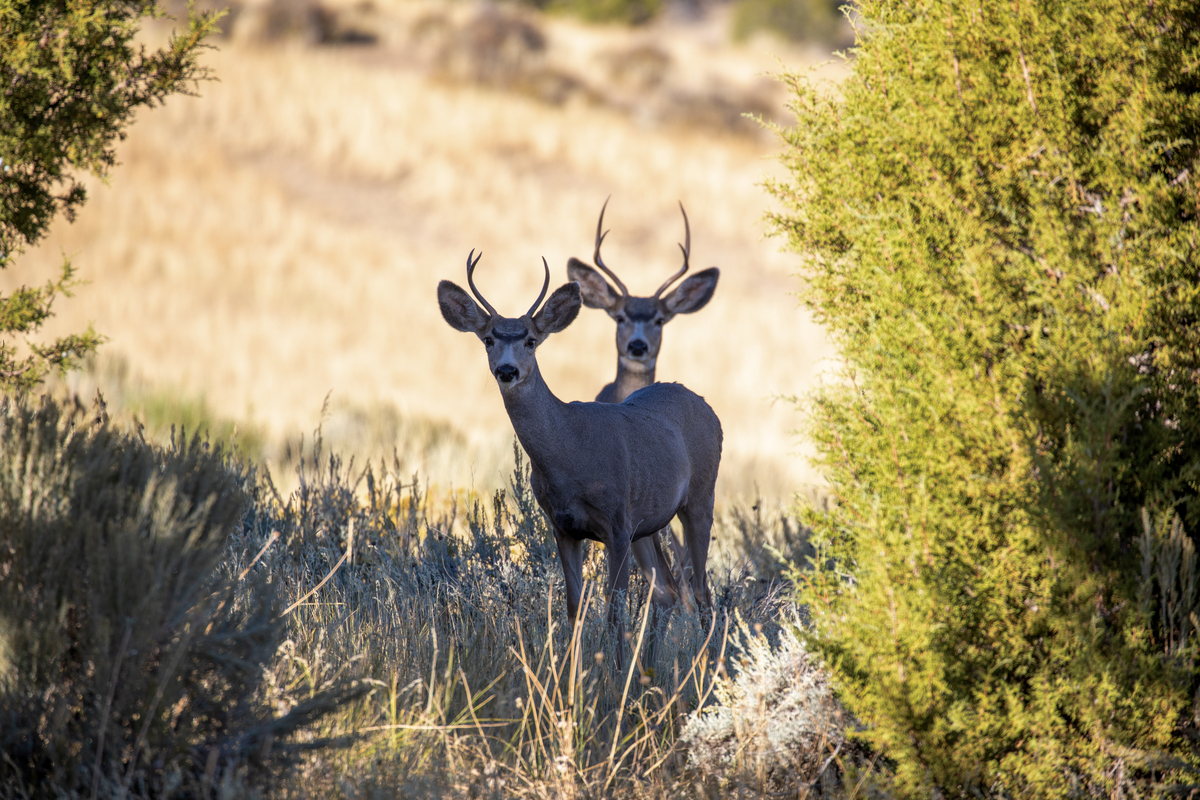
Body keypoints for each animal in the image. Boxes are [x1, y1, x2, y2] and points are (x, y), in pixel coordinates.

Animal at [437, 251, 722, 660]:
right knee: (666, 590)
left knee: (700, 591)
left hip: (699, 498)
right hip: (648, 523)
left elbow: (615, 610)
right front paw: (574, 674)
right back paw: (651, 668)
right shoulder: (564, 526)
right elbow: (575, 607)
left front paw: (614, 673)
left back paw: (708, 667)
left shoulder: (616, 524)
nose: (507, 370)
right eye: (489, 338)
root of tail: (705, 404)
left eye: (531, 340)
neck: (569, 452)